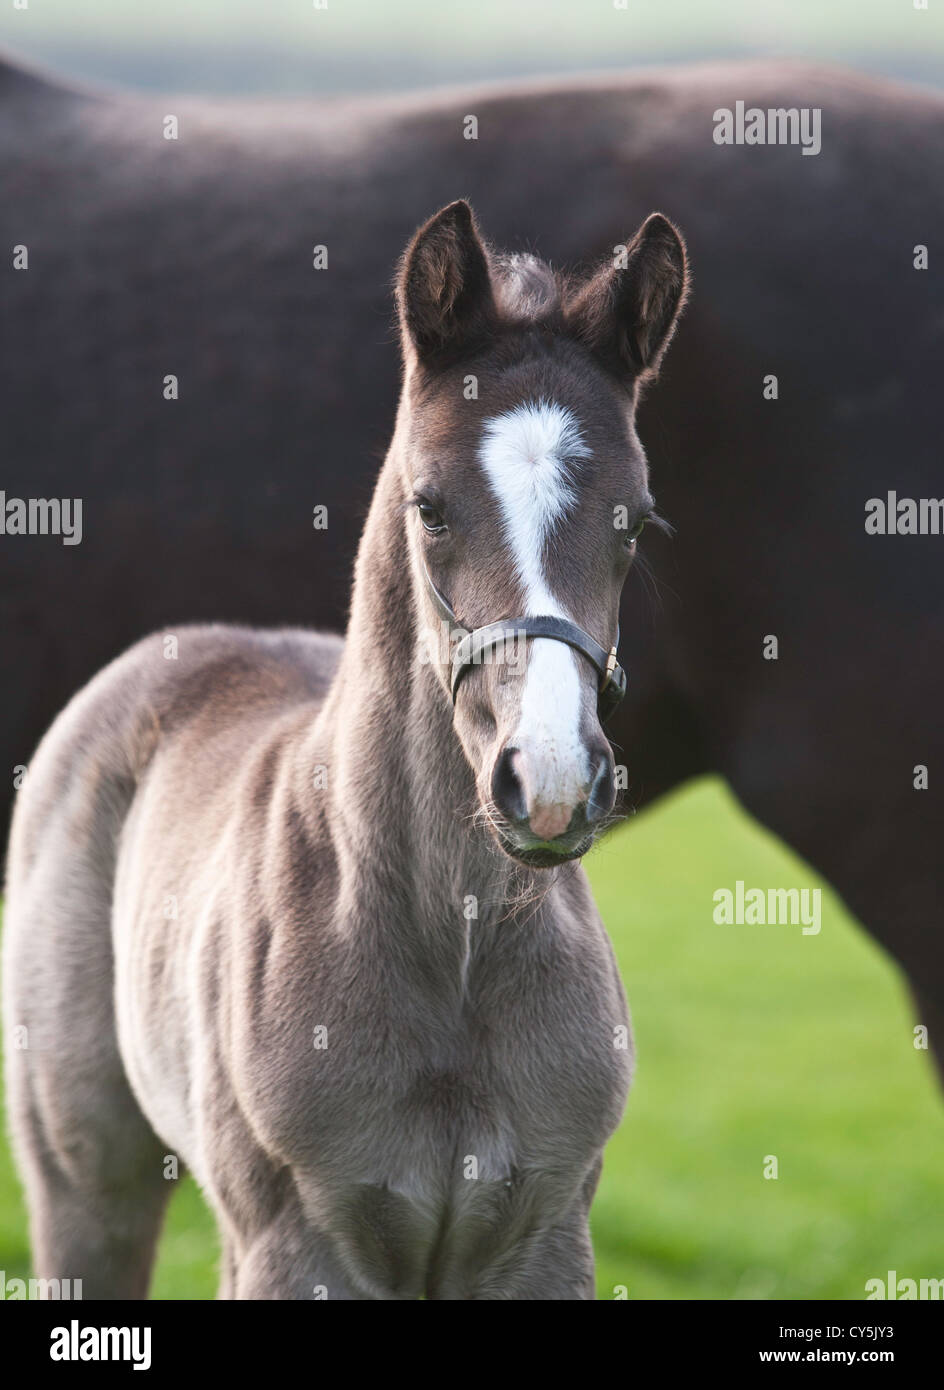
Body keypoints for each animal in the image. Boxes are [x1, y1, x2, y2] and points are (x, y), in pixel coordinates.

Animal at [2, 200, 690, 1299]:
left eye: (635, 520)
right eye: (429, 506)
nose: (548, 784)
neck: (451, 952)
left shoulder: (545, 1240)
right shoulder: (296, 1246)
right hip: (84, 1174)